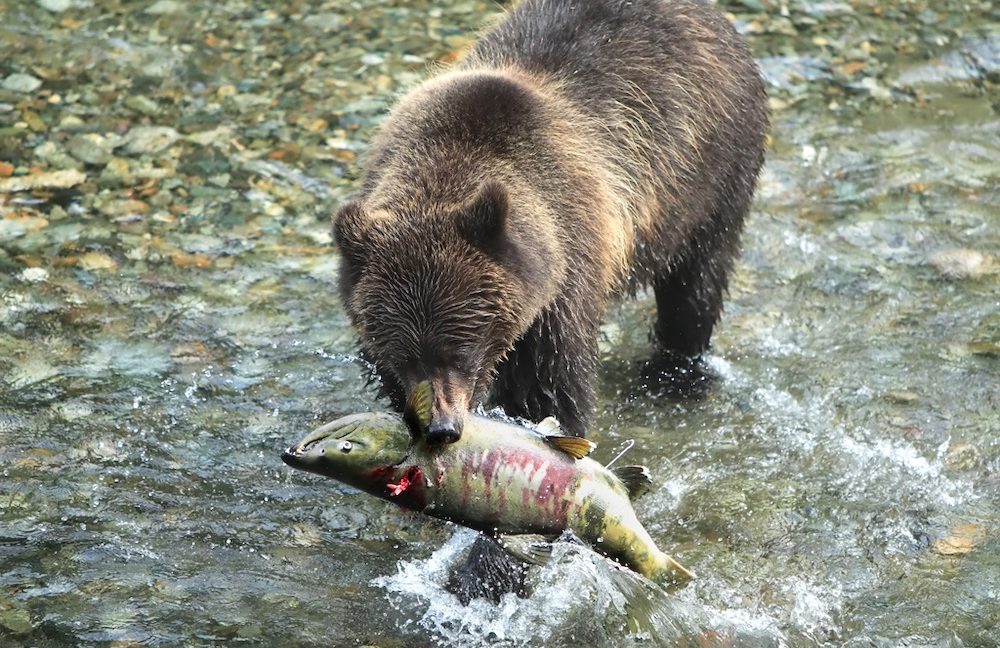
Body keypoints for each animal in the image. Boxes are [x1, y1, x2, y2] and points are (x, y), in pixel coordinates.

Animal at [334, 0, 768, 446]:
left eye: (461, 349)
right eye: (403, 354)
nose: (441, 427)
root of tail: (712, 15)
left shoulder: (564, 273)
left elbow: (551, 387)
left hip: (712, 174)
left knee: (695, 287)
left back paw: (675, 375)